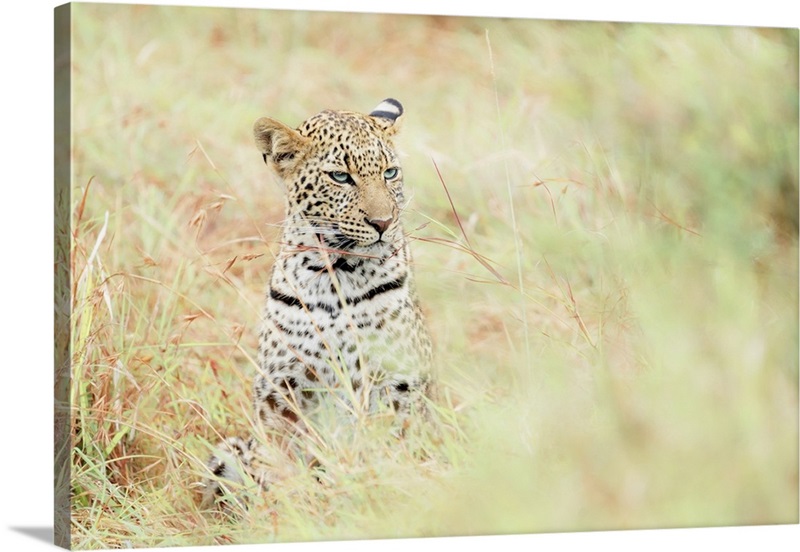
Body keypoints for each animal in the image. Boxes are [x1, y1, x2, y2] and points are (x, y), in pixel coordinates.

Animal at [201, 98, 433, 508]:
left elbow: (390, 445)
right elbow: (279, 463)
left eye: (390, 173)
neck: (336, 272)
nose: (383, 222)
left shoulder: (398, 381)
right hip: (229, 450)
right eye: (341, 177)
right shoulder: (281, 391)